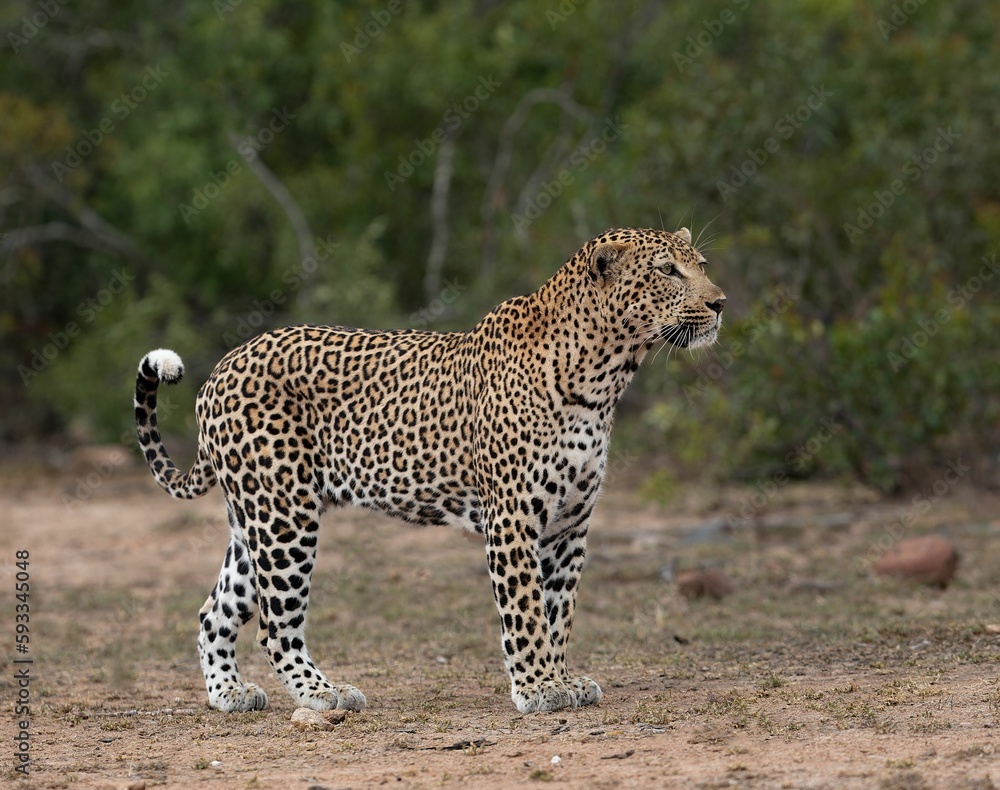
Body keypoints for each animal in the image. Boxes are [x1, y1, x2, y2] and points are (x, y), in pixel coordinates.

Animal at [133, 226, 726, 715]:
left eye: (698, 263)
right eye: (668, 271)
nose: (720, 302)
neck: (605, 377)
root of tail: (220, 370)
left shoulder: (570, 525)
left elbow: (559, 611)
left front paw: (562, 679)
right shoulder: (513, 519)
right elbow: (526, 610)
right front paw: (537, 689)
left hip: (255, 518)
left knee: (214, 611)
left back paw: (229, 695)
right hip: (285, 517)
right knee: (275, 626)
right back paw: (325, 694)